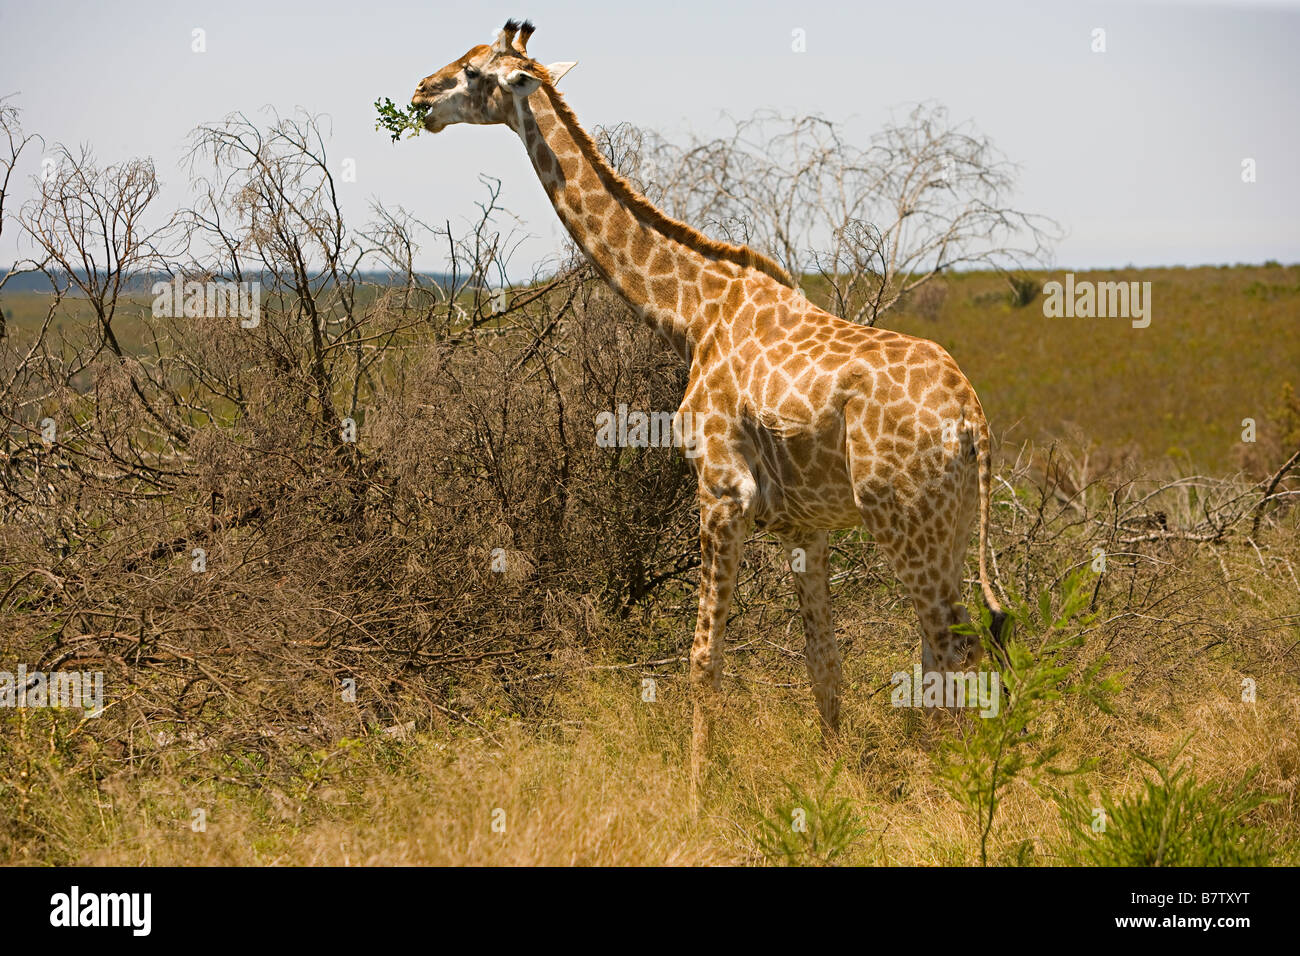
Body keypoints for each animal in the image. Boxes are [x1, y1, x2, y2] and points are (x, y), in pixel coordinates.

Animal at [411, 20, 1008, 790]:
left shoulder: (722, 489)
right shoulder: (805, 525)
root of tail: (972, 419)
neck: (692, 313)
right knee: (952, 647)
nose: (419, 95)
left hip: (906, 519)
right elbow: (824, 662)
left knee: (950, 645)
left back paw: (947, 788)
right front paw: (834, 781)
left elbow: (703, 656)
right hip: (954, 523)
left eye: (476, 72)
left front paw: (698, 791)